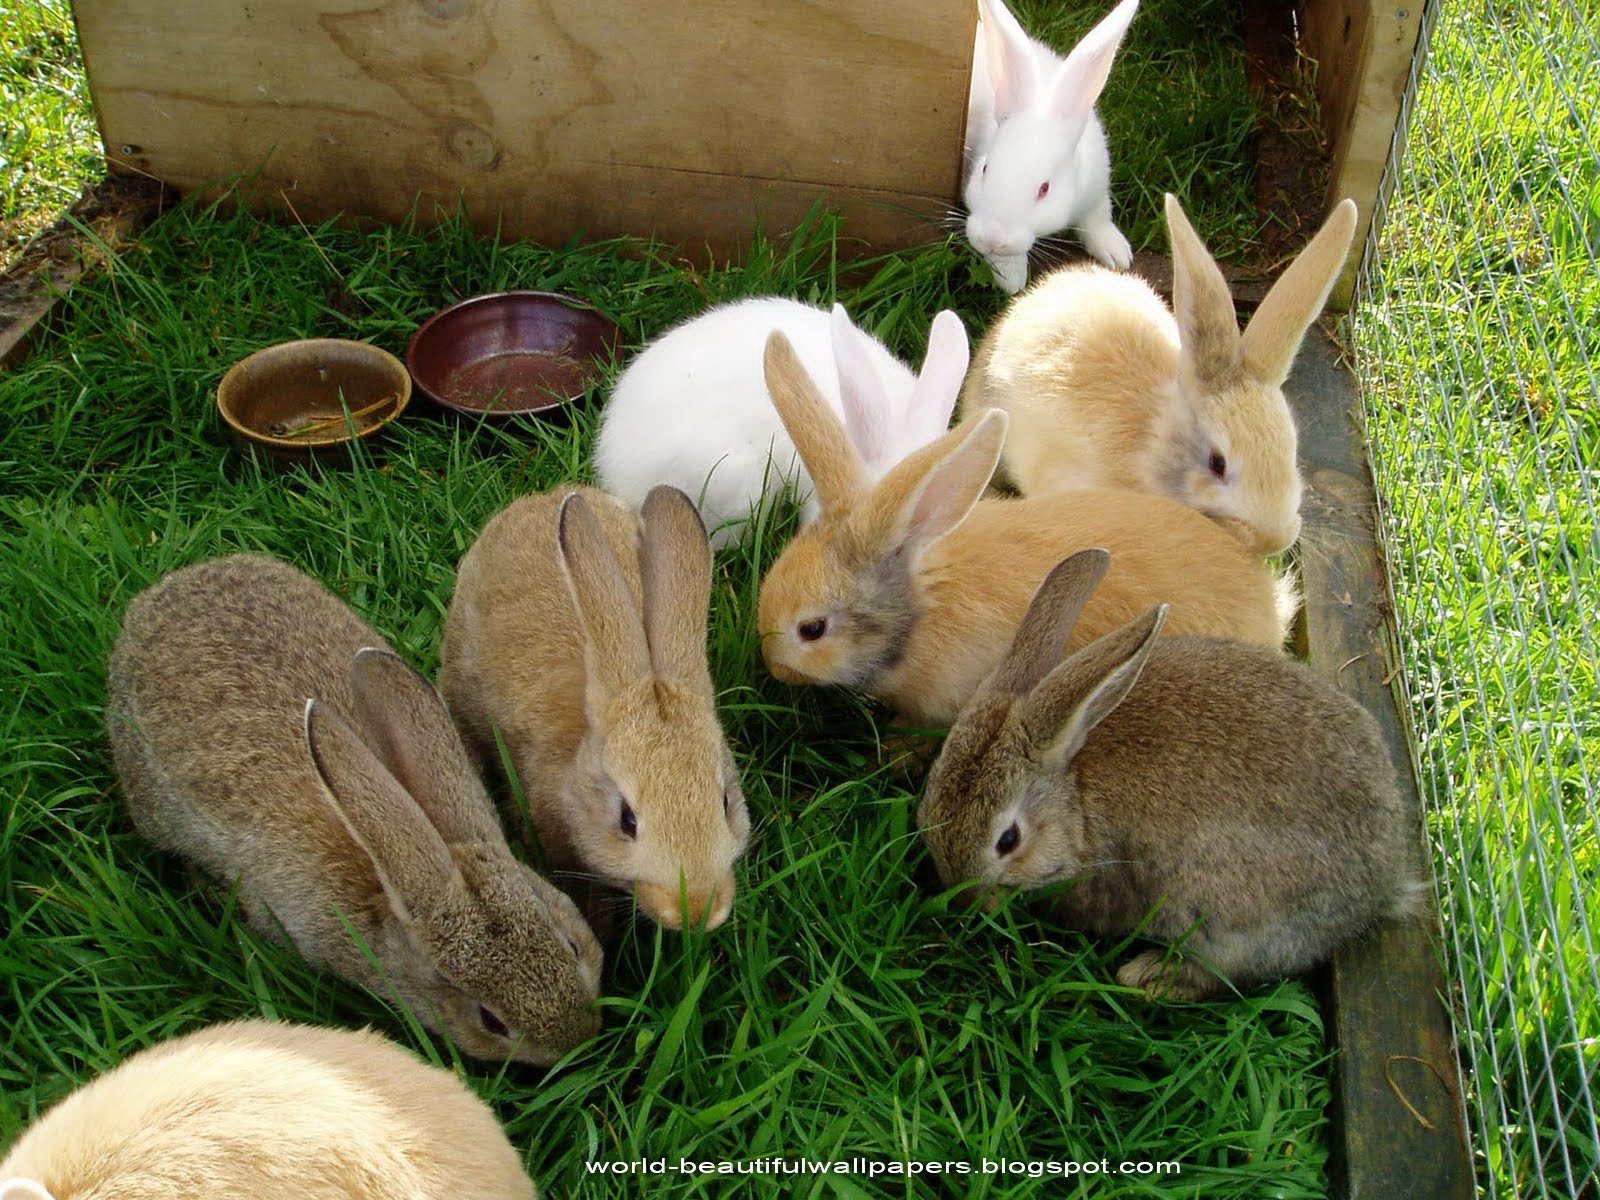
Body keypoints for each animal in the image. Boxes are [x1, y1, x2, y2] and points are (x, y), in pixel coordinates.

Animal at [918, 548, 1424, 999]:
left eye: (1009, 841)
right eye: (927, 804)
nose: (962, 899)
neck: (1075, 797)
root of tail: (1382, 884)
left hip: (1229, 916)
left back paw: (1148, 977)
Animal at [964, 0, 1140, 292]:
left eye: (1044, 189)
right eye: (984, 170)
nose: (992, 238)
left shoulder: (1096, 188)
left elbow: (1098, 218)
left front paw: (1117, 255)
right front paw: (1011, 278)